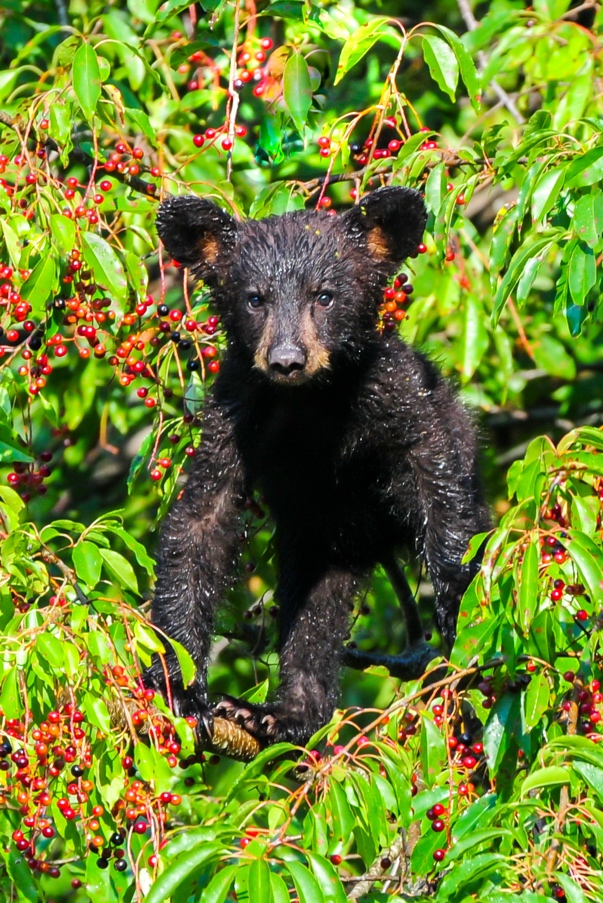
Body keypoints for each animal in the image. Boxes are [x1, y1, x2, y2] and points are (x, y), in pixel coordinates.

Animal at [147, 185, 490, 747]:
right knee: (314, 614)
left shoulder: (396, 394)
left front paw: (455, 605)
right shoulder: (237, 415)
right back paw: (279, 713)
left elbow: (437, 483)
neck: (312, 401)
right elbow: (200, 521)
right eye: (256, 298)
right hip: (325, 542)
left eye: (324, 295)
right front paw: (181, 683)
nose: (287, 360)